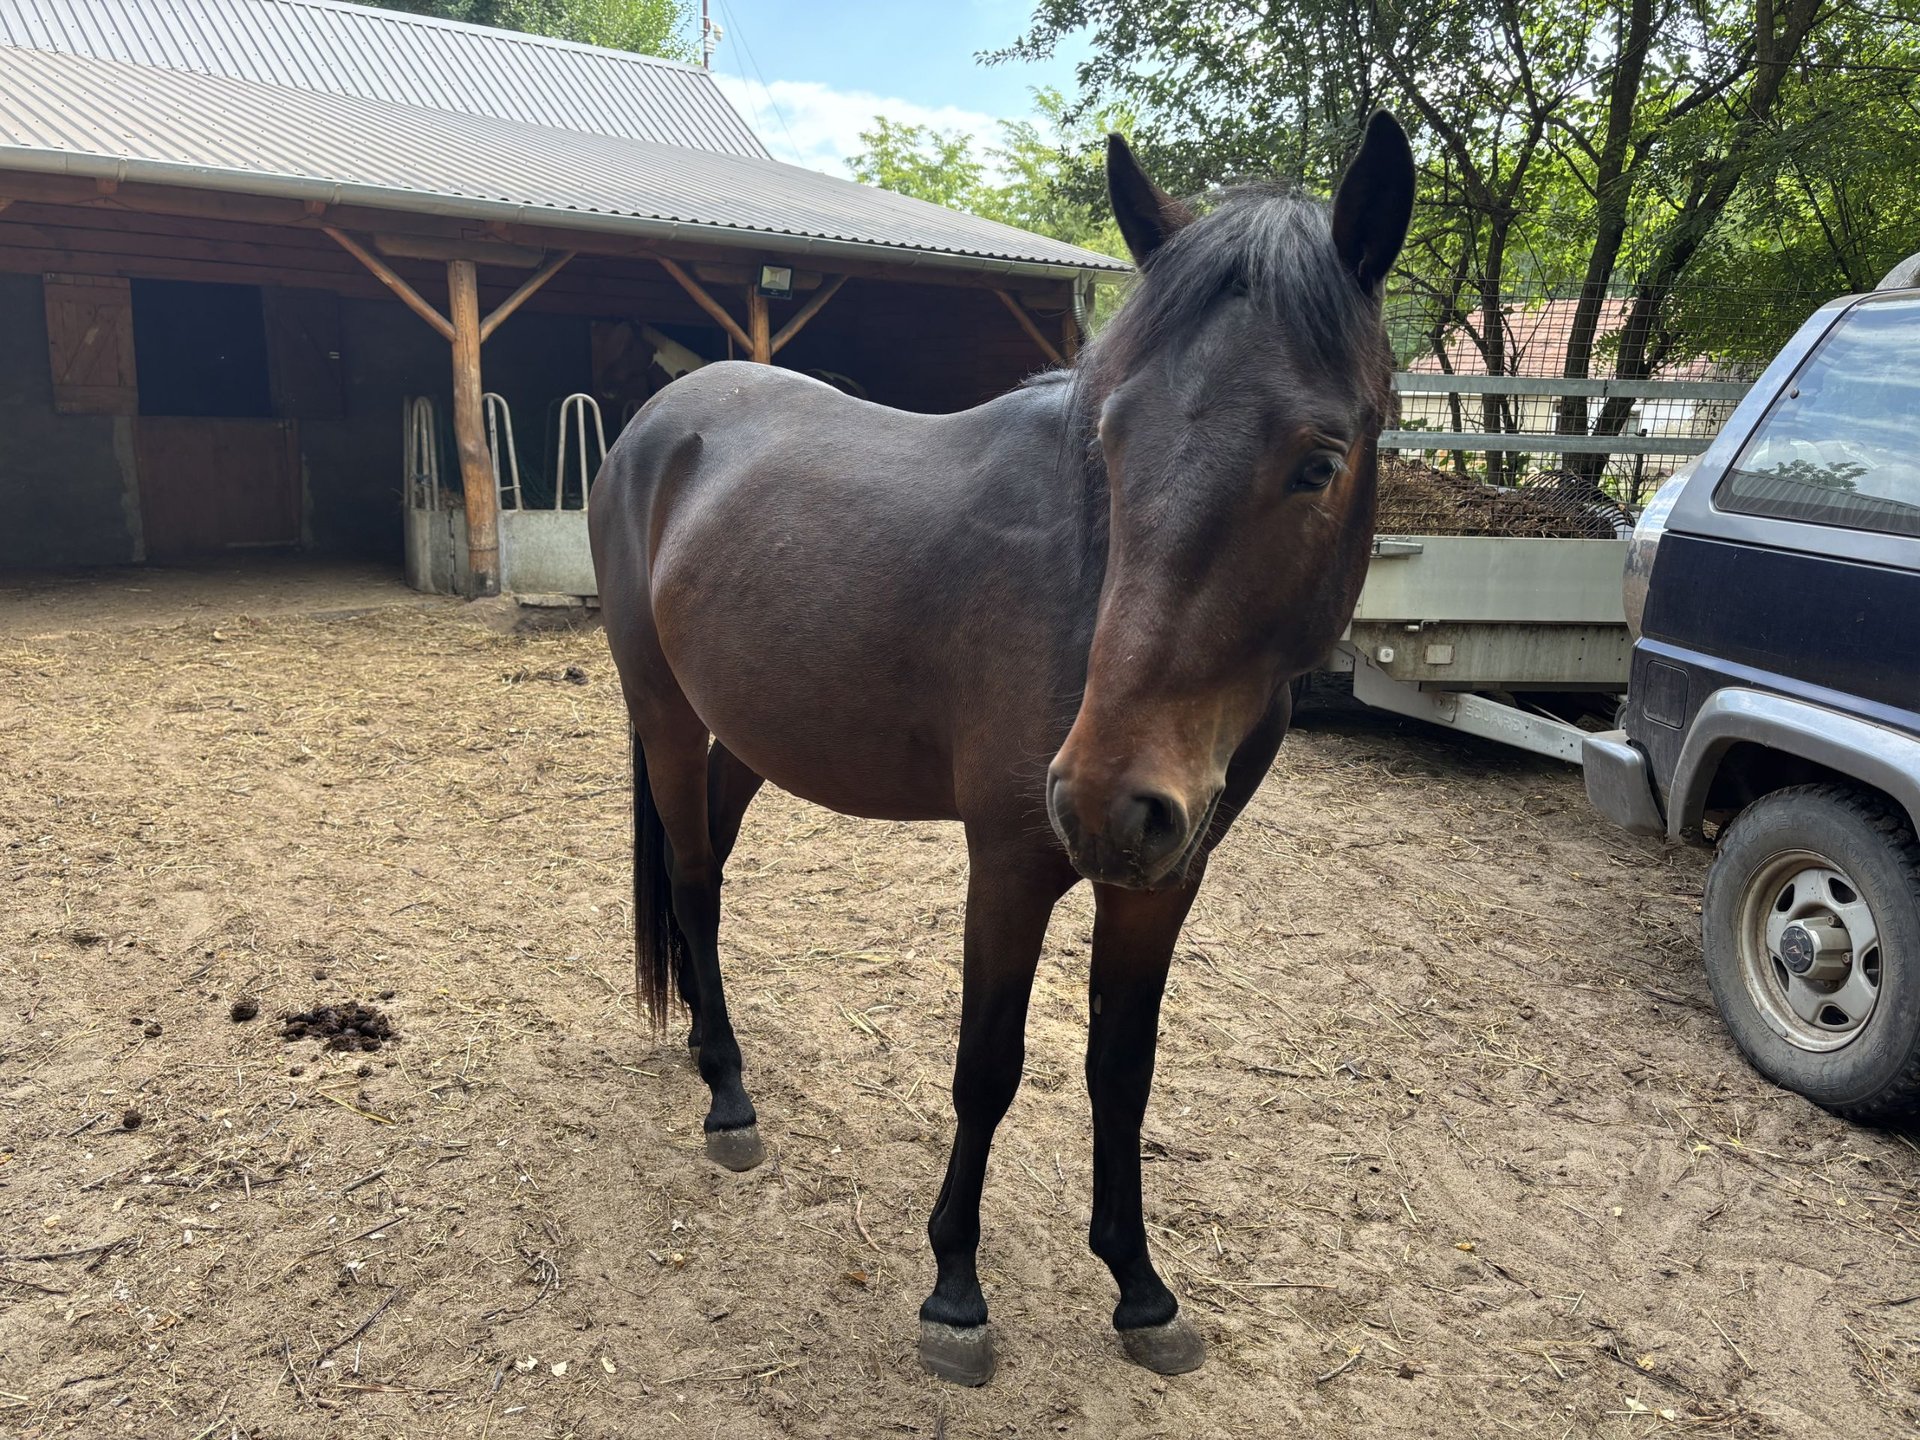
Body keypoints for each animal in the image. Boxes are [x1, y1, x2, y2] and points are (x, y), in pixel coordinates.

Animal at [588, 111, 1415, 1385]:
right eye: (1112, 440)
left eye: (1319, 460)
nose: (1107, 797)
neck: (1087, 585)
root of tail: (659, 423)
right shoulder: (1014, 860)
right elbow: (989, 1066)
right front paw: (955, 1291)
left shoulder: (1165, 877)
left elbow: (1121, 1070)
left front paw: (1140, 1288)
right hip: (667, 714)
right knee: (689, 881)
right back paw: (726, 1097)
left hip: (753, 739)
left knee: (706, 880)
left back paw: (701, 1052)